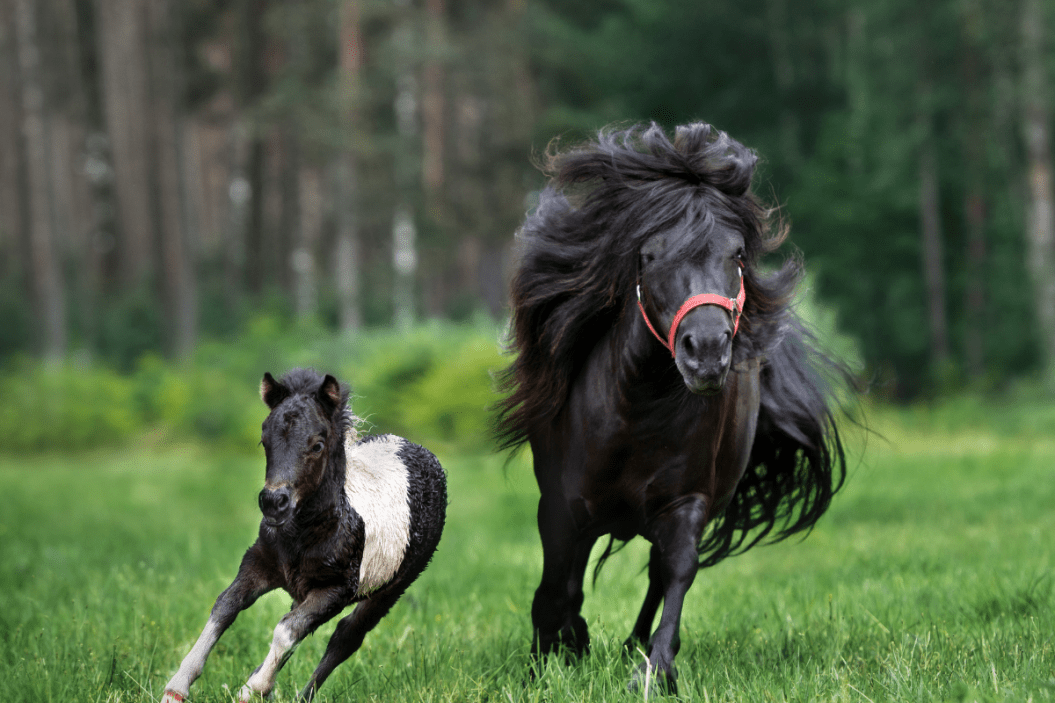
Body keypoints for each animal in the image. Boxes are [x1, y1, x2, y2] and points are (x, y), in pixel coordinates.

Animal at [160, 368, 446, 703]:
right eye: (264, 441)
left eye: (317, 445)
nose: (274, 502)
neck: (304, 533)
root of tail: (418, 449)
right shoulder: (258, 563)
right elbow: (225, 607)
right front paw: (177, 686)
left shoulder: (335, 590)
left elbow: (287, 632)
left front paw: (253, 690)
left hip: (393, 586)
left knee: (346, 636)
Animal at [496, 123, 849, 693]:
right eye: (651, 255)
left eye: (737, 255)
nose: (705, 351)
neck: (636, 415)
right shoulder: (562, 507)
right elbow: (557, 588)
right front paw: (549, 659)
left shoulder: (686, 501)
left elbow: (678, 570)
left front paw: (655, 669)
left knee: (658, 574)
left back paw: (632, 647)